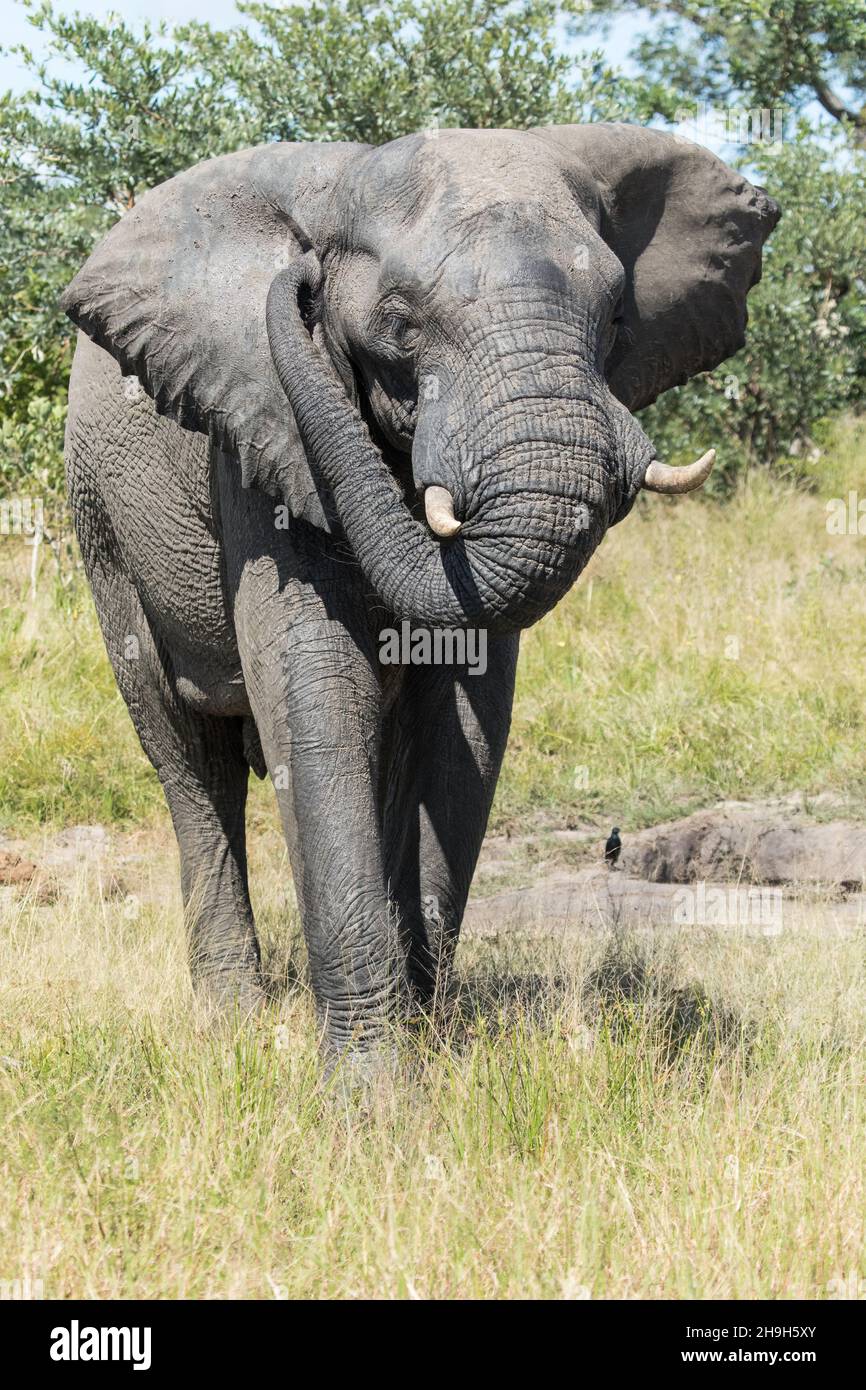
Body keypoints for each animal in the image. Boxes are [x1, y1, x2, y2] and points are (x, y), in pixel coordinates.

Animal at [61, 123, 778, 1069]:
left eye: (618, 317)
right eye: (398, 325)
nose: (299, 283)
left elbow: (464, 723)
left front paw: (426, 1042)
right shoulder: (259, 429)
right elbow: (317, 690)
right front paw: (372, 1088)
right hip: (103, 529)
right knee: (189, 760)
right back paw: (233, 1023)